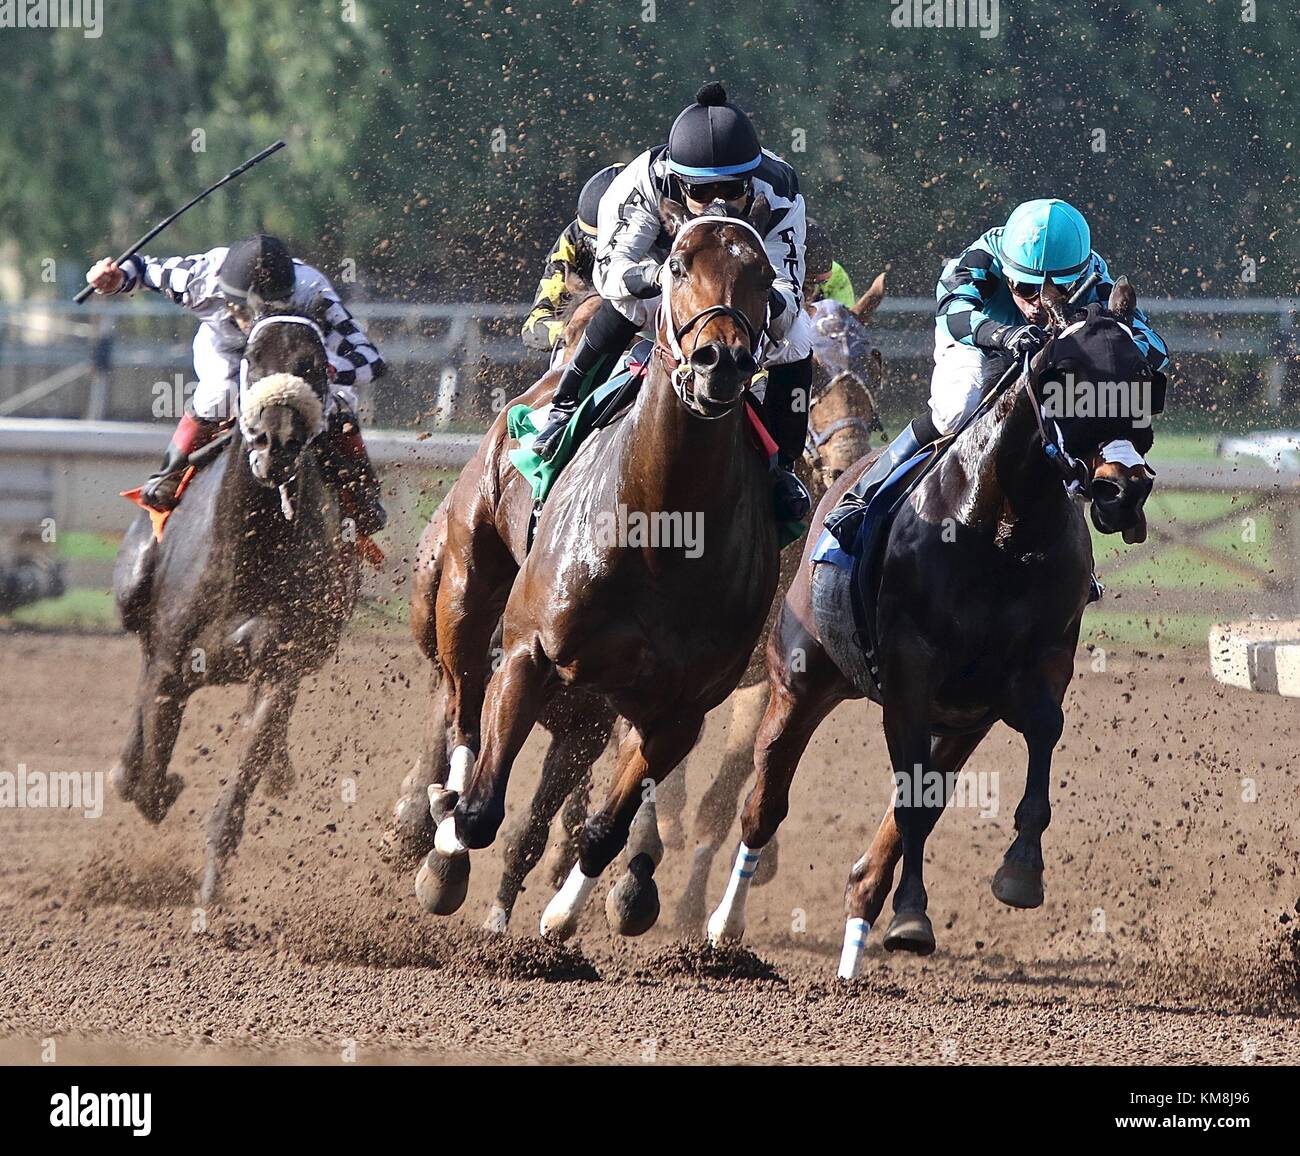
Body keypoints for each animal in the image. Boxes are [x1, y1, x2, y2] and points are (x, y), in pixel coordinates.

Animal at [111, 302, 359, 904]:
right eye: (252, 358)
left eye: (314, 363)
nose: (277, 442)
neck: (247, 556)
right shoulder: (171, 666)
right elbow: (151, 775)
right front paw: (153, 778)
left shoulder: (280, 667)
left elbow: (244, 769)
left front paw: (212, 890)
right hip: (133, 587)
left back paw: (280, 770)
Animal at [386, 266, 889, 936]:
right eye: (819, 370)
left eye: (872, 360)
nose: (846, 460)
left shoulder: (737, 674)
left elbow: (704, 786)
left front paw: (654, 886)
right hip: (449, 594)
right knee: (451, 693)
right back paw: (422, 818)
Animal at [413, 195, 784, 939]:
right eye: (679, 264)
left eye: (762, 273)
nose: (721, 362)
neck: (661, 533)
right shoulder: (529, 653)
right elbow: (483, 808)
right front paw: (448, 862)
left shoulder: (677, 711)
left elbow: (605, 828)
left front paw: (562, 915)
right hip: (466, 590)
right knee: (464, 713)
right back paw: (442, 828)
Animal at [706, 277, 1158, 976]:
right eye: (1060, 375)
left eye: (1143, 374)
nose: (1123, 491)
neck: (1001, 530)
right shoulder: (911, 672)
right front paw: (913, 917)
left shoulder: (1038, 664)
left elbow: (1041, 734)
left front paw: (1020, 870)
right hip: (799, 681)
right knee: (763, 805)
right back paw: (724, 924)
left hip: (960, 721)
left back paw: (858, 924)